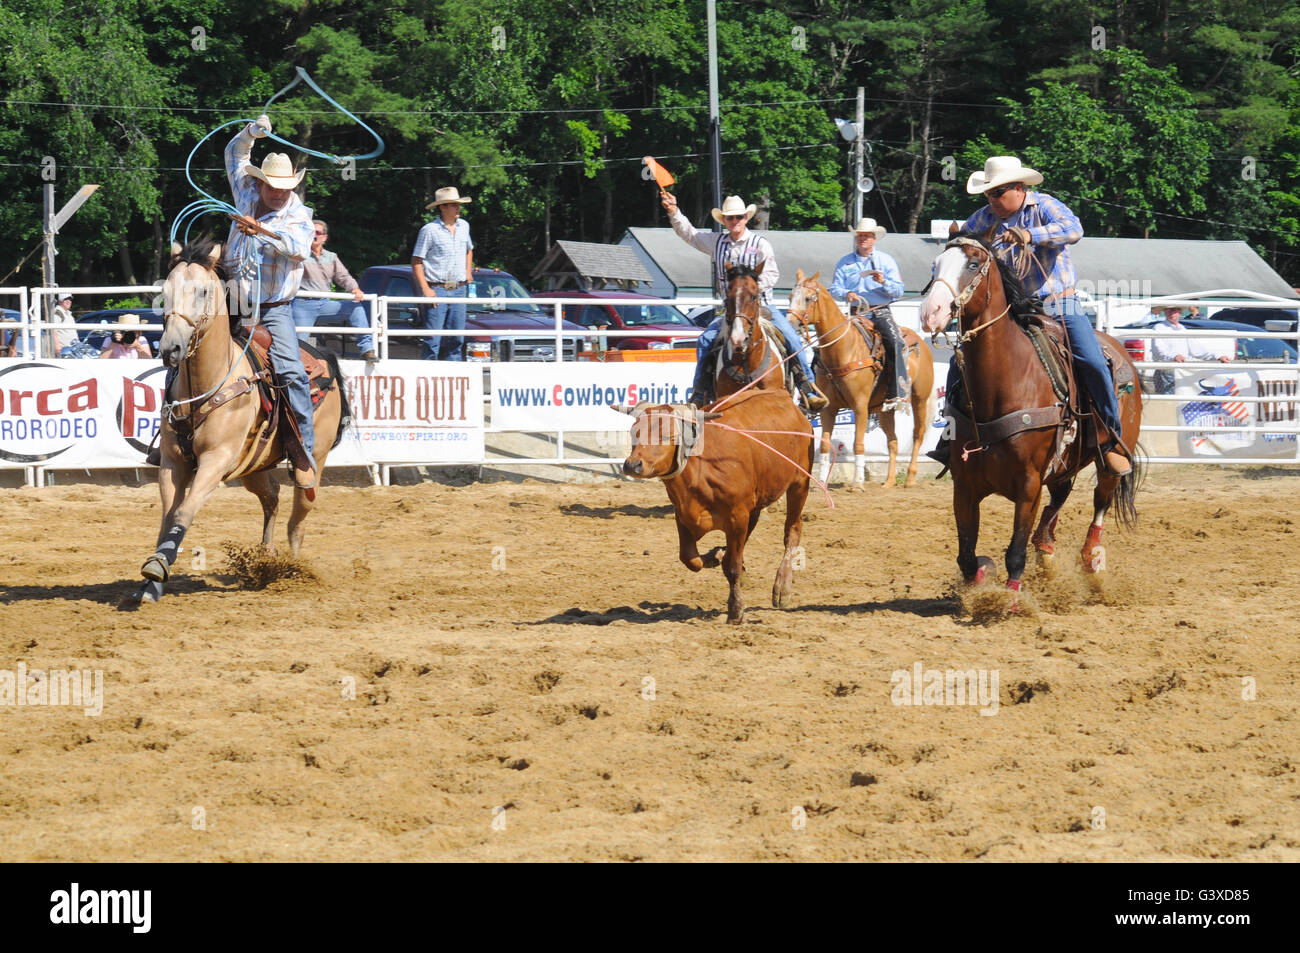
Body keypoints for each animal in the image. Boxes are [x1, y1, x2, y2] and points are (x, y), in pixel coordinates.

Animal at [131, 238, 349, 604]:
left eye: (203, 291)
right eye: (165, 289)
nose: (170, 348)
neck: (208, 383)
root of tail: (325, 358)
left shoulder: (215, 460)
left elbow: (184, 510)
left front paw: (157, 569)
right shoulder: (173, 462)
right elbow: (168, 515)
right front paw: (152, 578)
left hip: (313, 461)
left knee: (298, 518)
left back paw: (293, 571)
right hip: (253, 467)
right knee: (272, 497)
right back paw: (266, 557)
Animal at [619, 391, 813, 623]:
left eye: (668, 436)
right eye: (634, 433)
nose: (632, 465)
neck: (701, 469)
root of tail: (786, 399)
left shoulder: (737, 517)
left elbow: (732, 567)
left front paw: (736, 610)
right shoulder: (682, 514)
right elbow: (690, 558)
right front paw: (713, 556)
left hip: (799, 484)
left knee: (792, 530)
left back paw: (782, 588)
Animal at [788, 269, 936, 489]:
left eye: (807, 298)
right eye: (790, 297)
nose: (790, 323)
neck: (843, 349)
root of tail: (922, 344)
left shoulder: (859, 405)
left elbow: (858, 443)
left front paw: (857, 483)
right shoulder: (829, 409)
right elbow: (824, 444)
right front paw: (822, 481)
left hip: (920, 399)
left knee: (918, 434)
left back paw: (909, 478)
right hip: (884, 410)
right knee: (893, 441)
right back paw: (889, 481)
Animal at [918, 233, 1142, 600]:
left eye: (973, 264)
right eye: (935, 265)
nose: (930, 312)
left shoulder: (1028, 484)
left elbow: (1015, 550)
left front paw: (1009, 601)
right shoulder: (964, 486)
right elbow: (966, 555)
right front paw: (981, 576)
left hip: (1110, 454)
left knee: (1101, 498)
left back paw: (1092, 559)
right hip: (1066, 461)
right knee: (1060, 496)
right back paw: (1047, 552)